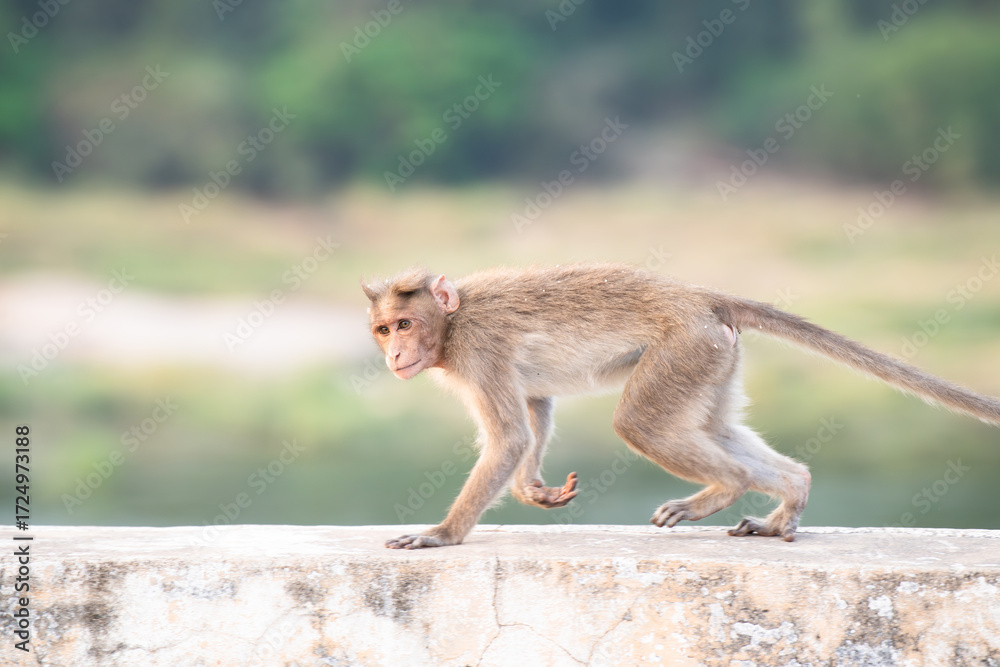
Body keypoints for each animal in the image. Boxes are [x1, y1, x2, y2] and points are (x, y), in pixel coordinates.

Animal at [361, 263, 1000, 549]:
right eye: (383, 328)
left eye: (406, 324)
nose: (394, 354)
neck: (453, 322)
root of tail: (699, 296)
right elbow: (535, 409)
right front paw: (532, 488)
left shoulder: (480, 348)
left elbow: (511, 436)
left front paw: (443, 535)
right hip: (714, 357)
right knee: (716, 426)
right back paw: (788, 497)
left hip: (684, 348)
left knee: (640, 422)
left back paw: (724, 489)